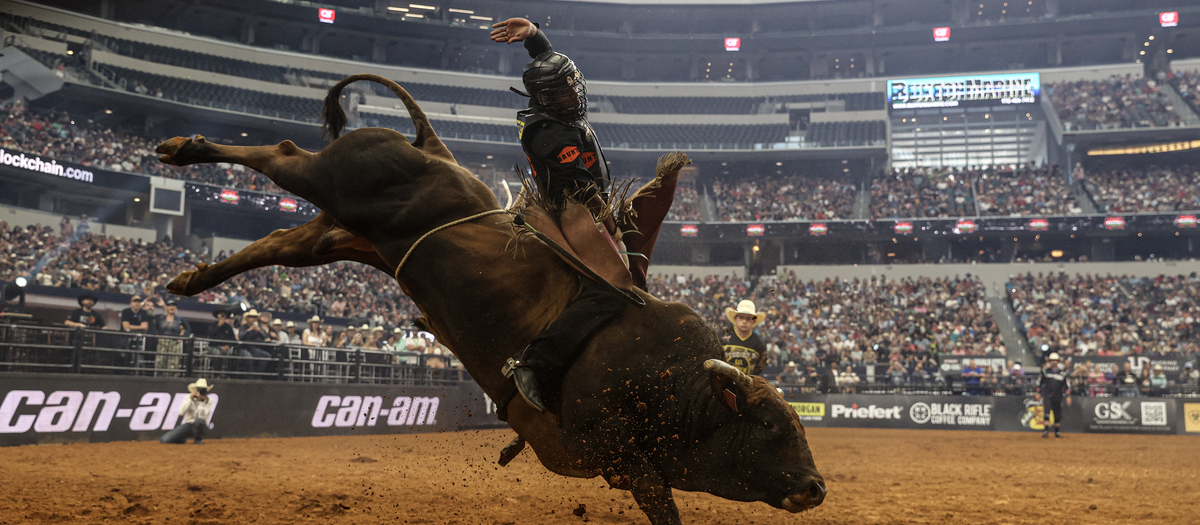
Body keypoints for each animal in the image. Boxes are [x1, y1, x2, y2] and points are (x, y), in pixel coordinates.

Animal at [156, 73, 825, 524]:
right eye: (770, 424)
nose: (816, 486)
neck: (677, 384)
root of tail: (432, 147)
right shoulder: (618, 452)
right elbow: (662, 505)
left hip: (349, 236)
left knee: (278, 239)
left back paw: (189, 280)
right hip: (335, 182)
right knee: (283, 156)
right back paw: (182, 149)